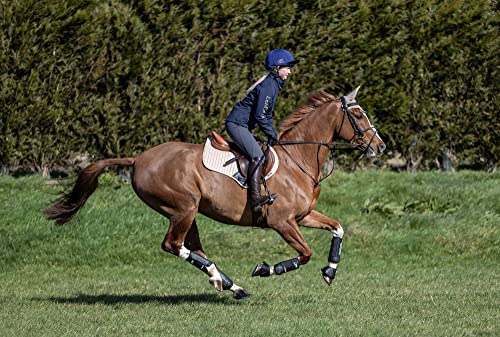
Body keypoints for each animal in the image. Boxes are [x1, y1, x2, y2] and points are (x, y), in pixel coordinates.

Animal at [45, 85, 384, 298]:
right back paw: (228, 282)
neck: (297, 158)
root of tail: (139, 158)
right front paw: (265, 268)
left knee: (192, 247)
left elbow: (338, 228)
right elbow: (305, 253)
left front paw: (330, 271)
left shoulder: (303, 216)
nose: (379, 146)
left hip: (187, 211)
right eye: (359, 115)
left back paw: (227, 283)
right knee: (173, 245)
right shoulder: (282, 222)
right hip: (183, 208)